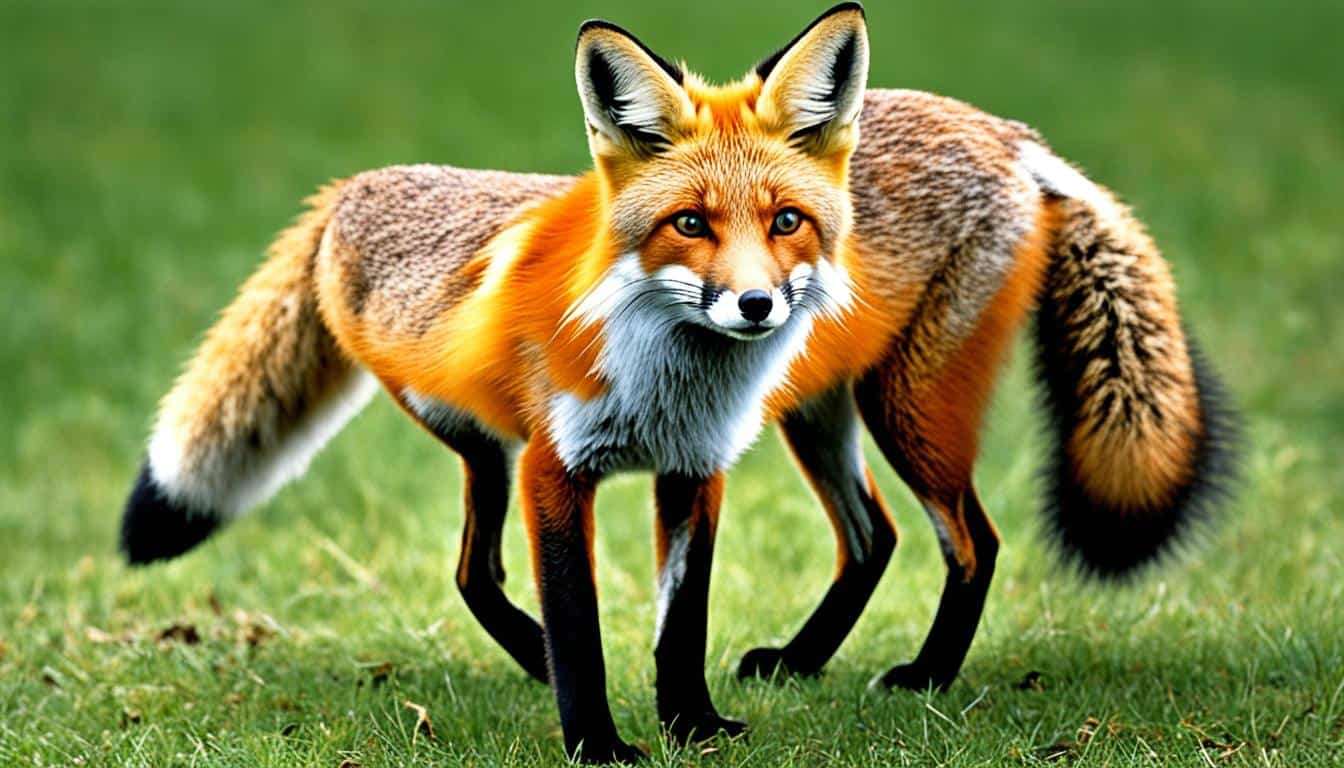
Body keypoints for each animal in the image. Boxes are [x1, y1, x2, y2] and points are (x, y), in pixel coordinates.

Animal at [119, 3, 1238, 763]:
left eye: (785, 220)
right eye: (689, 224)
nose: (755, 307)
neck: (669, 380)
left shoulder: (697, 464)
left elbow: (678, 624)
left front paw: (688, 726)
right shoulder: (561, 470)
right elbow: (584, 626)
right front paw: (600, 742)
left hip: (892, 408)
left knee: (961, 541)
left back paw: (917, 675)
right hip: (511, 440)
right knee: (489, 571)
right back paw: (770, 662)